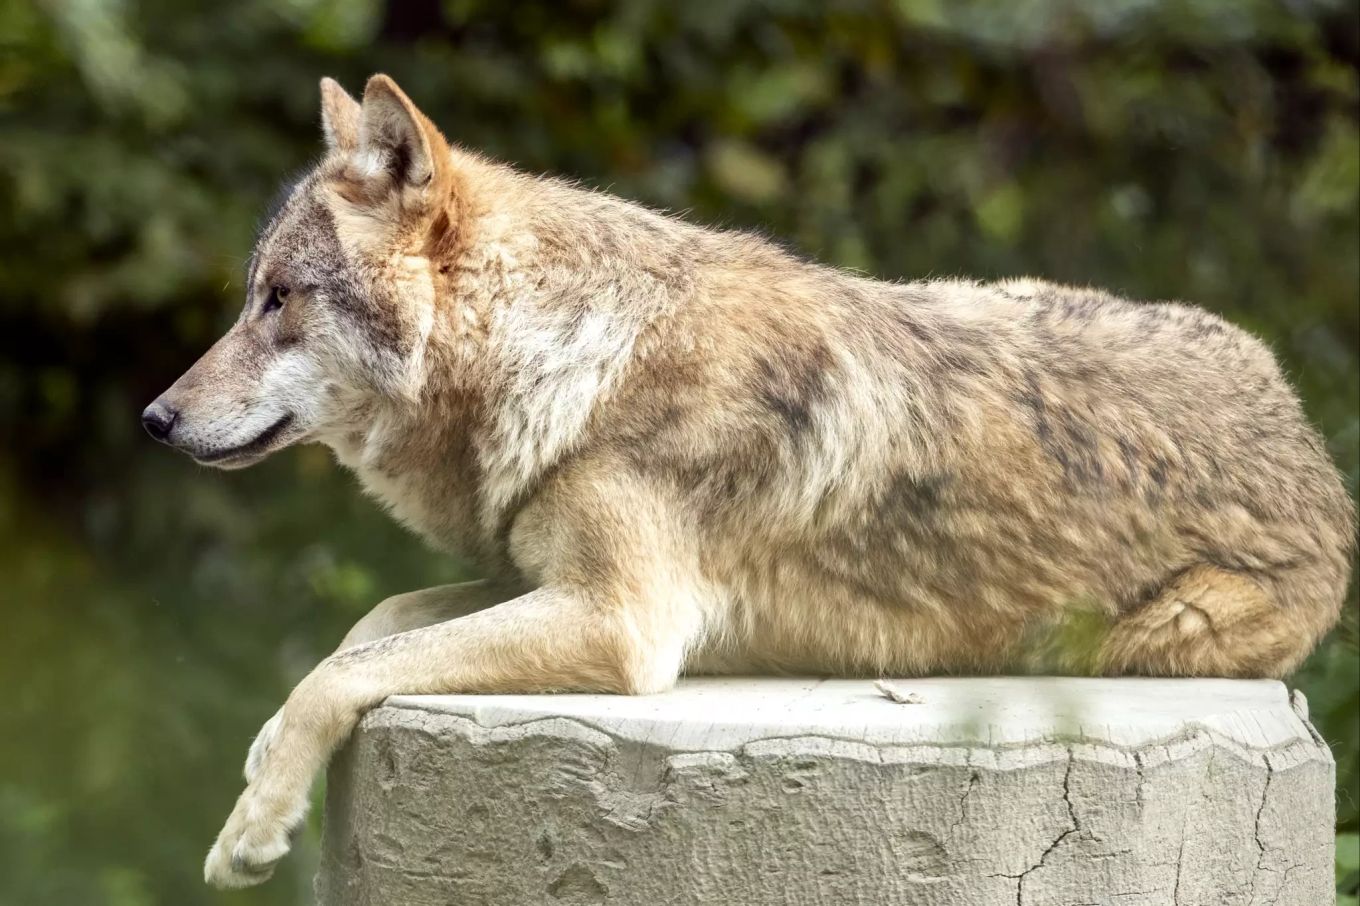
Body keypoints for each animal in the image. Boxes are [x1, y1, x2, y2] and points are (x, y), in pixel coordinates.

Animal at [141, 75, 1354, 888]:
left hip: (1136, 636)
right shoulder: (537, 577)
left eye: (278, 300)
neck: (571, 351)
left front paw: (252, 826)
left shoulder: (622, 624)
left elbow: (351, 666)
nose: (154, 419)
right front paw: (265, 758)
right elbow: (370, 630)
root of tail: (1313, 445)